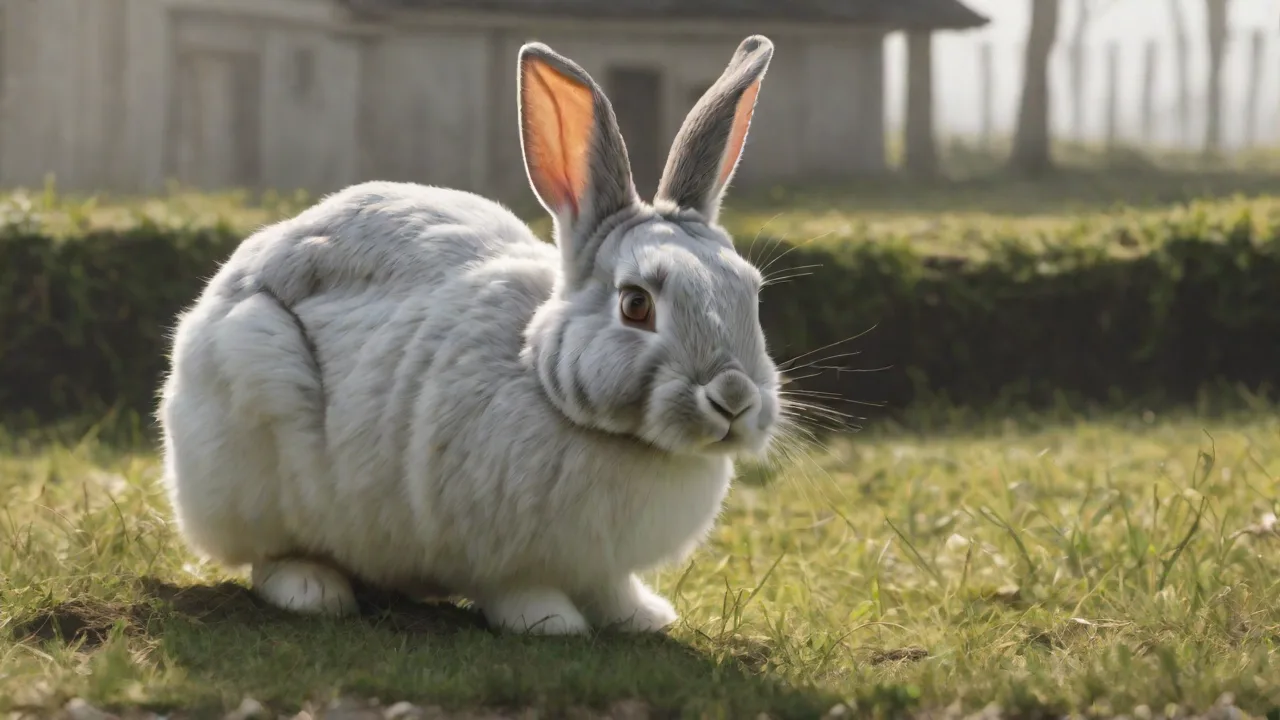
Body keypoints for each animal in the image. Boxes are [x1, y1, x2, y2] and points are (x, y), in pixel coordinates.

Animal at [157, 35, 780, 635]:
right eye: (635, 305)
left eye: (752, 292)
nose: (733, 397)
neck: (544, 378)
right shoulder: (497, 551)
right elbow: (519, 589)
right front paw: (549, 623)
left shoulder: (601, 567)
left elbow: (611, 589)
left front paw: (643, 618)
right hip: (251, 422)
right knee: (270, 555)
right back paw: (313, 590)